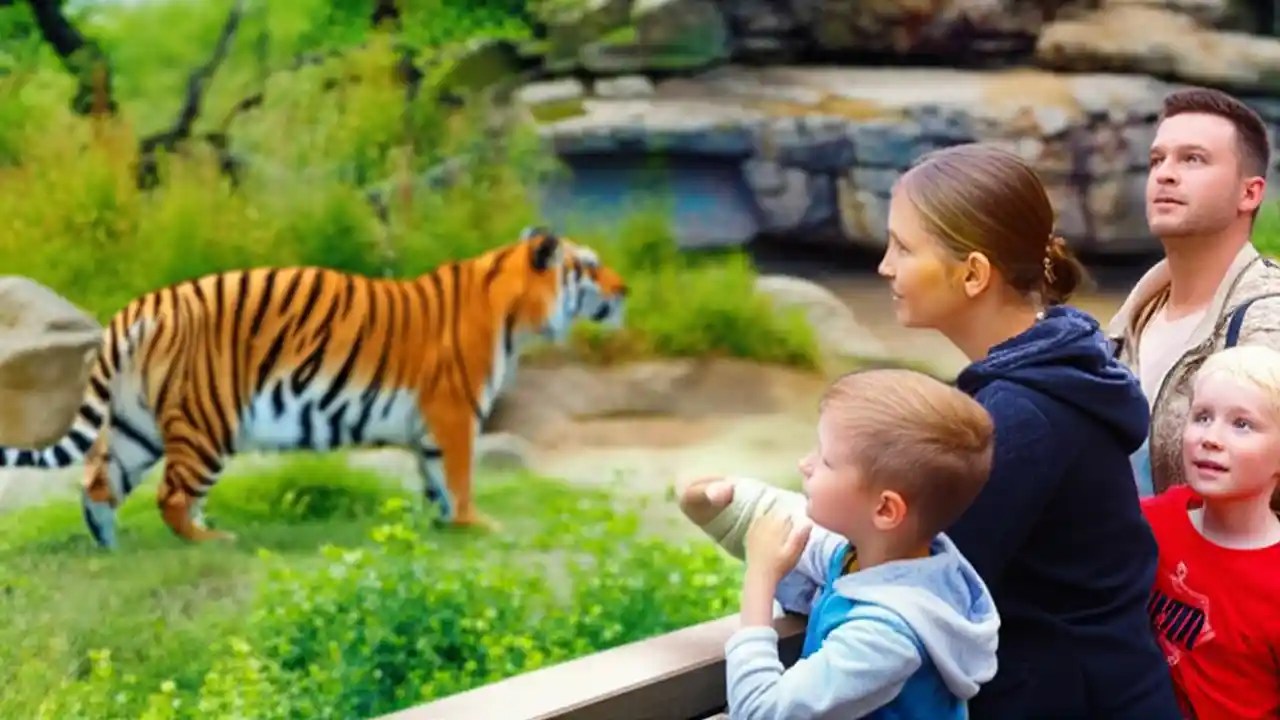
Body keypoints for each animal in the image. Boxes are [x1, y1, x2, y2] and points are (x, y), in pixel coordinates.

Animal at [0, 227, 627, 549]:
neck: (514, 313)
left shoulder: (432, 426)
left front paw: (445, 525)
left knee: (98, 479)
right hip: (208, 422)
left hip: (138, 424)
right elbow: (461, 477)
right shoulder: (454, 413)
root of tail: (144, 304)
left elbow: (436, 480)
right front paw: (477, 525)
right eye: (591, 266)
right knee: (170, 495)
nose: (624, 290)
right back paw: (210, 539)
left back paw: (110, 545)